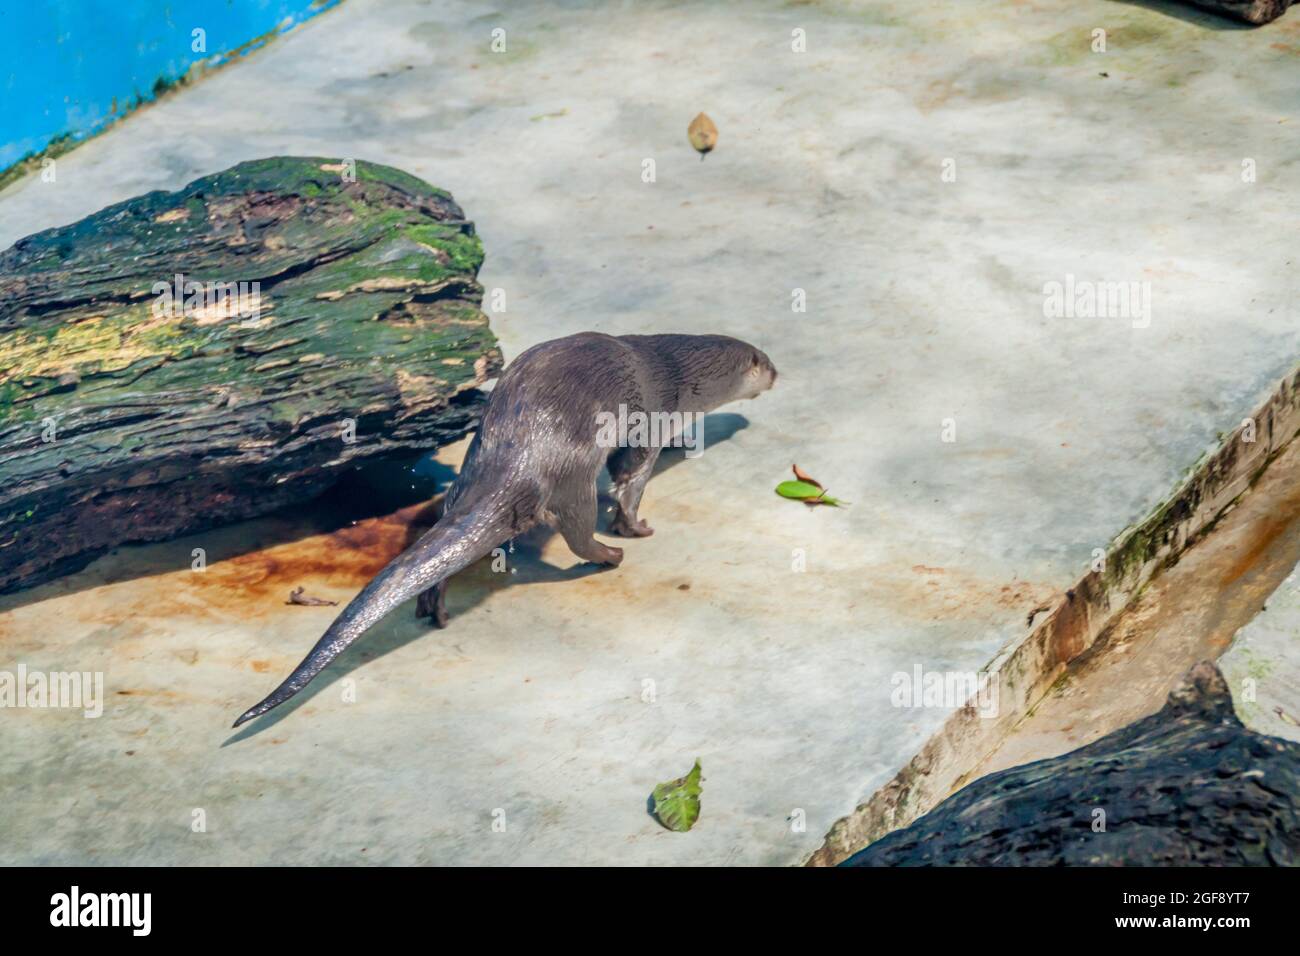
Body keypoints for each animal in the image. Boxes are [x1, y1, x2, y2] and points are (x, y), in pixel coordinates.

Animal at [232, 332, 777, 727]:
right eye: (766, 363)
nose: (778, 373)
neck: (671, 368)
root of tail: (516, 455)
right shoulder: (652, 419)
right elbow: (631, 479)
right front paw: (636, 527)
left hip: (464, 478)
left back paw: (434, 607)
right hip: (573, 475)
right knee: (578, 530)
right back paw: (609, 556)